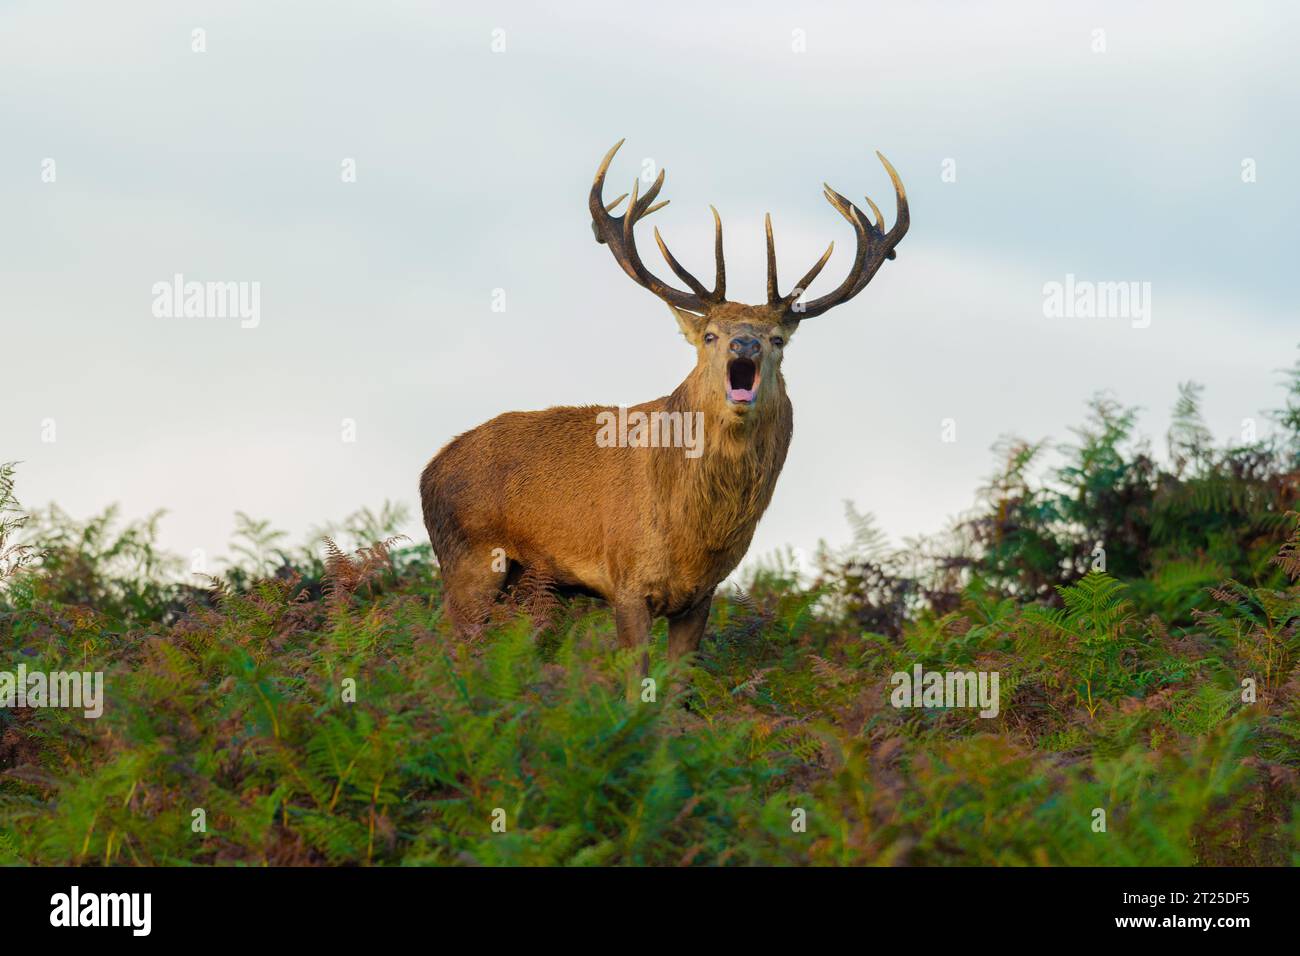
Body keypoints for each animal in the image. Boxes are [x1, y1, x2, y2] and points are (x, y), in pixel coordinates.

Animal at [420, 140, 908, 679]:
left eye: (777, 338)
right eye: (710, 334)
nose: (745, 343)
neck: (693, 538)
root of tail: (429, 470)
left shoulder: (701, 597)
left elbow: (678, 687)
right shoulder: (626, 581)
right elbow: (637, 681)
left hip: (534, 588)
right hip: (468, 557)